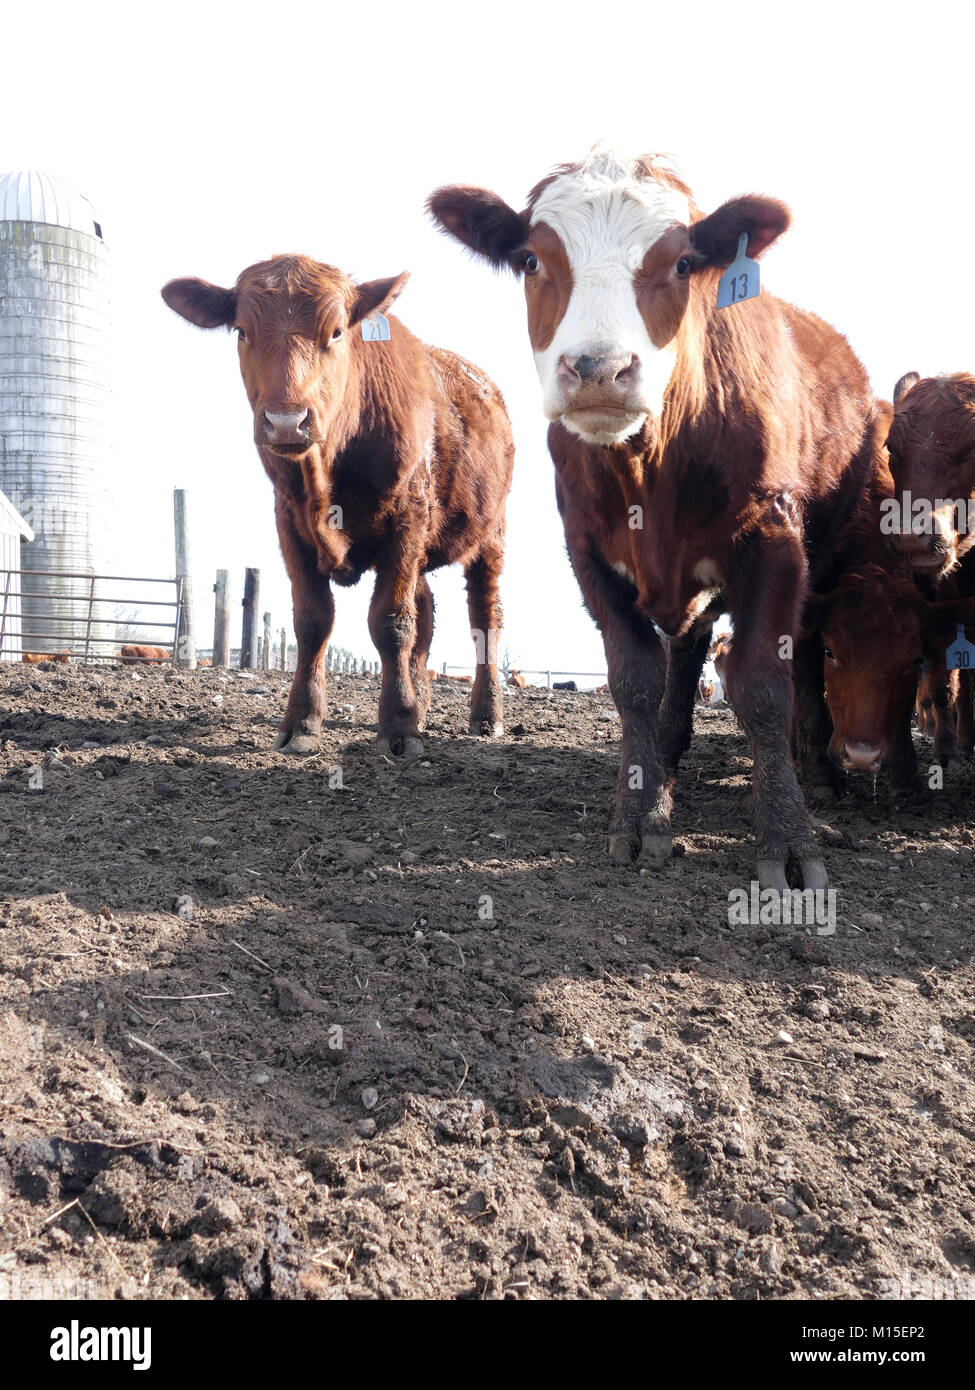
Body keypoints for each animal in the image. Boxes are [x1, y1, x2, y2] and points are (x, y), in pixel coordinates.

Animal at [162, 255, 513, 760]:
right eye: (242, 330)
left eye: (335, 331)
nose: (286, 421)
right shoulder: (289, 523)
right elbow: (313, 621)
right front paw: (302, 721)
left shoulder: (407, 520)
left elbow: (391, 622)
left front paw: (399, 727)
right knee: (426, 613)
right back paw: (423, 705)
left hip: (490, 536)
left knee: (484, 618)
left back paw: (487, 715)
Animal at [430, 149, 888, 891]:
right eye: (530, 259)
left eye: (682, 263)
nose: (598, 368)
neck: (652, 464)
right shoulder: (588, 553)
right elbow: (636, 680)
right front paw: (640, 813)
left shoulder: (773, 542)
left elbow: (764, 685)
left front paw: (789, 839)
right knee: (685, 652)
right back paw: (668, 765)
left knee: (805, 651)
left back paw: (817, 775)